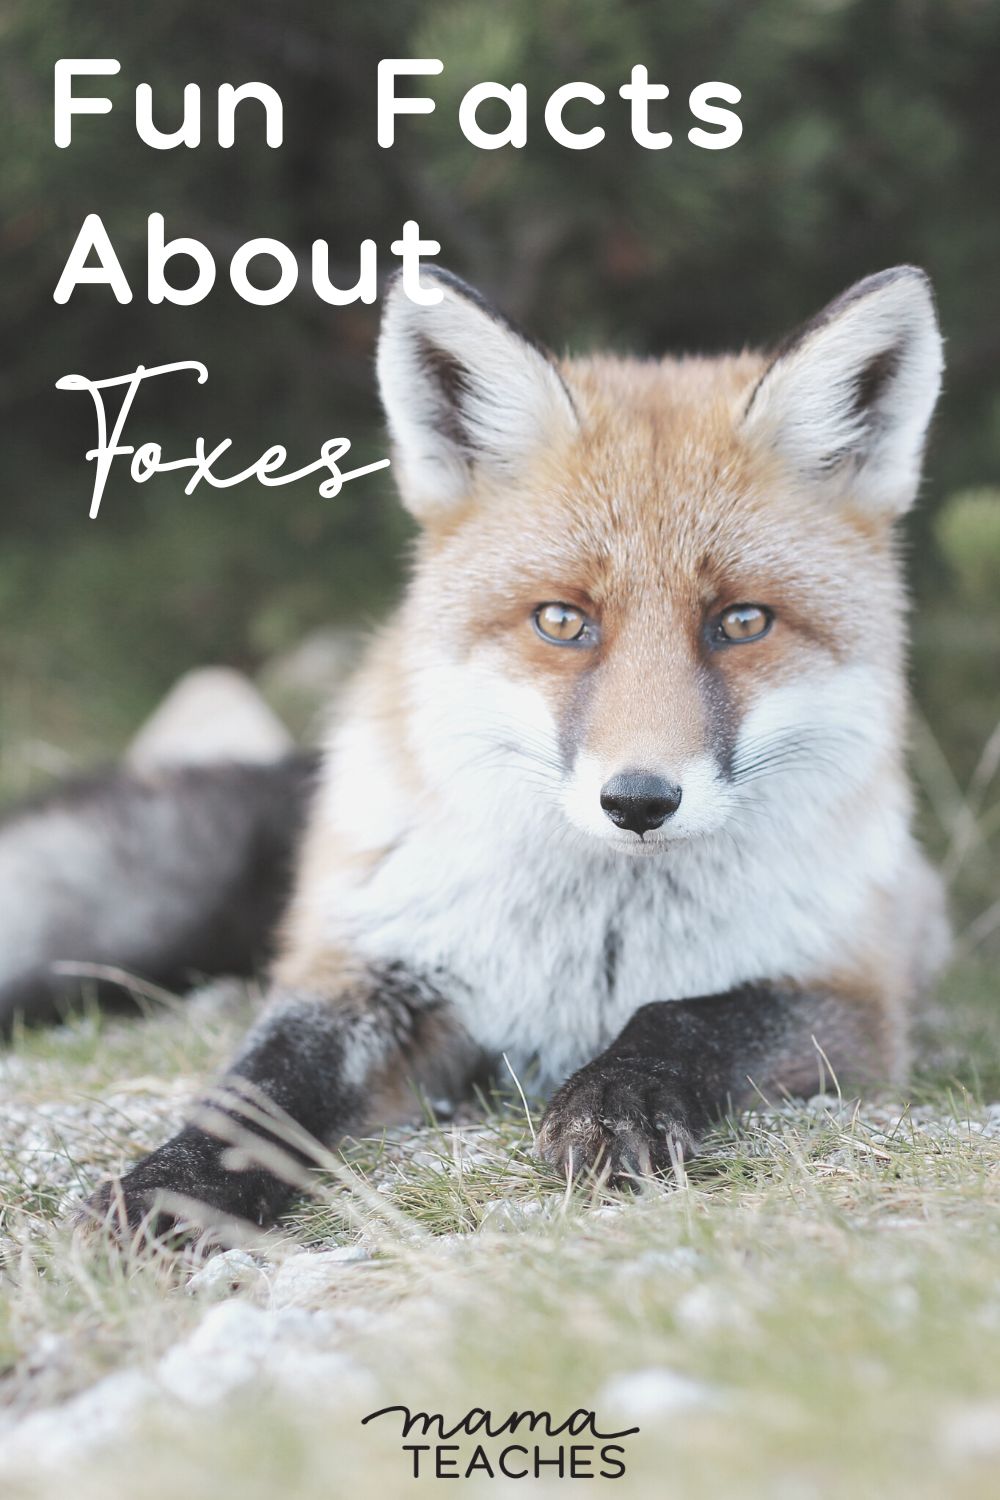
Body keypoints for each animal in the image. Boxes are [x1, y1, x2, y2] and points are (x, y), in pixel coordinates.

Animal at [0, 264, 950, 1234]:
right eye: (562, 621)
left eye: (743, 623)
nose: (639, 802)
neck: (598, 939)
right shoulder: (369, 970)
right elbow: (257, 1092)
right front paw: (172, 1184)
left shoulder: (854, 1000)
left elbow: (681, 1016)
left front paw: (618, 1097)